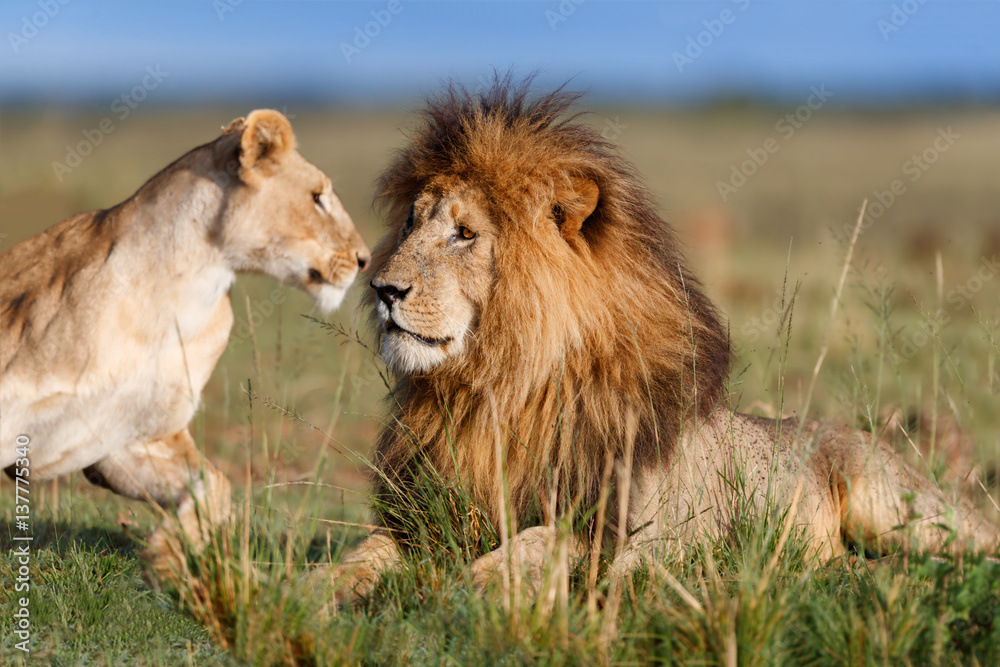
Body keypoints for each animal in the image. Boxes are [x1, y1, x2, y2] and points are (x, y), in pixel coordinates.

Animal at [0, 110, 370, 570]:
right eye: (317, 197)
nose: (365, 259)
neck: (184, 288)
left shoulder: (124, 439)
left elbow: (216, 485)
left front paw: (168, 553)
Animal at [318, 78, 998, 602]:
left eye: (464, 234)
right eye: (411, 221)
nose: (381, 287)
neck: (497, 388)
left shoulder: (641, 531)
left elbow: (541, 545)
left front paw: (478, 585)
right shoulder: (418, 516)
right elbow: (365, 551)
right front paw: (318, 591)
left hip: (898, 506)